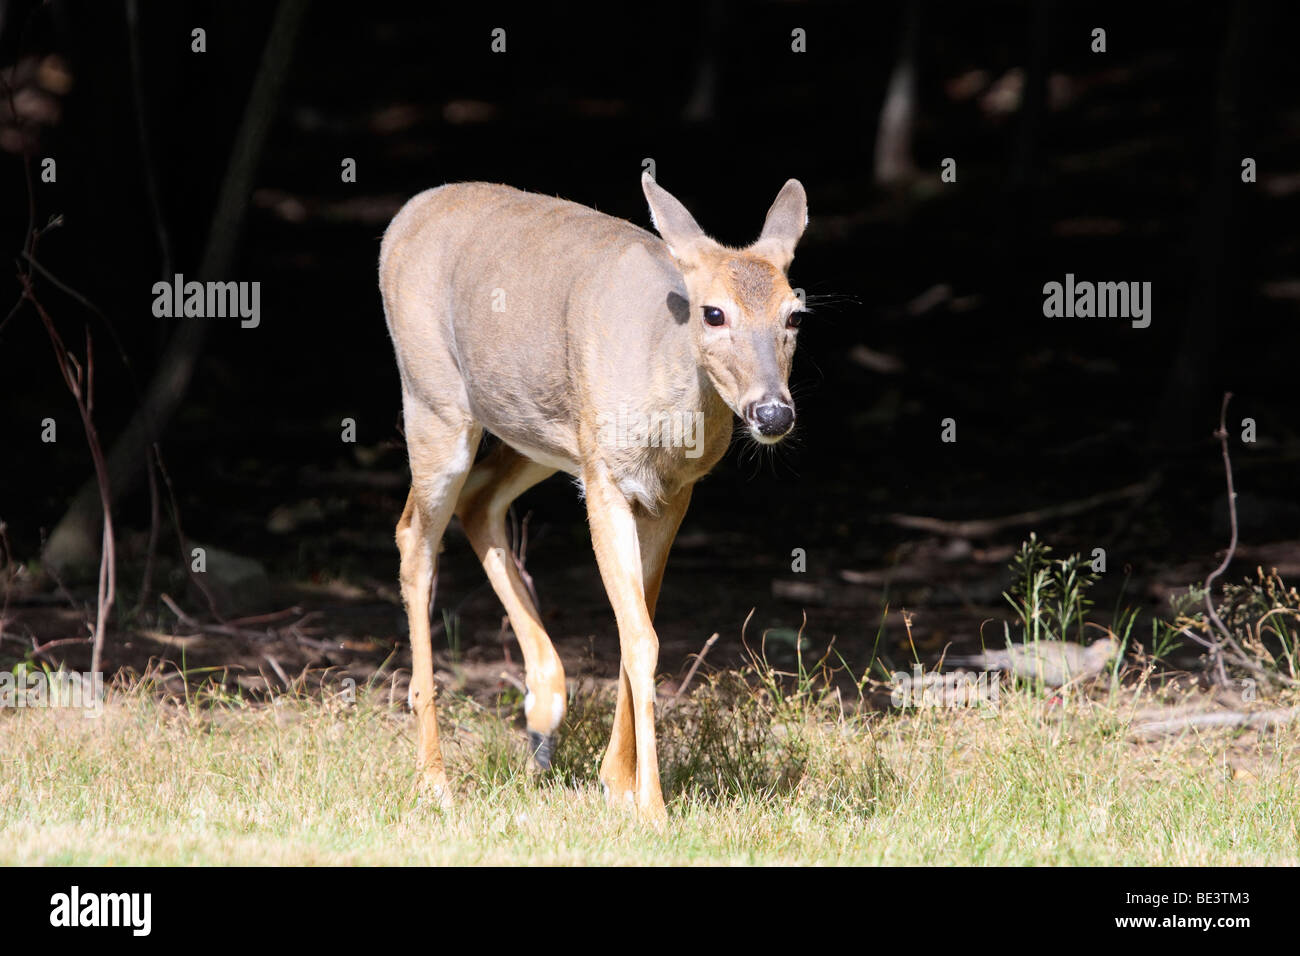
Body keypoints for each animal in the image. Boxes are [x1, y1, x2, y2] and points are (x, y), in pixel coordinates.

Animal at [379, 172, 808, 822]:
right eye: (714, 313)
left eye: (795, 315)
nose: (773, 413)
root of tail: (407, 215)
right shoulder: (606, 477)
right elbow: (642, 639)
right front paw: (651, 805)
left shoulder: (673, 494)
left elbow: (639, 628)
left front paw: (618, 782)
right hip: (434, 400)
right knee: (415, 536)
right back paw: (435, 778)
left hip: (538, 429)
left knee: (479, 500)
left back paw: (544, 708)